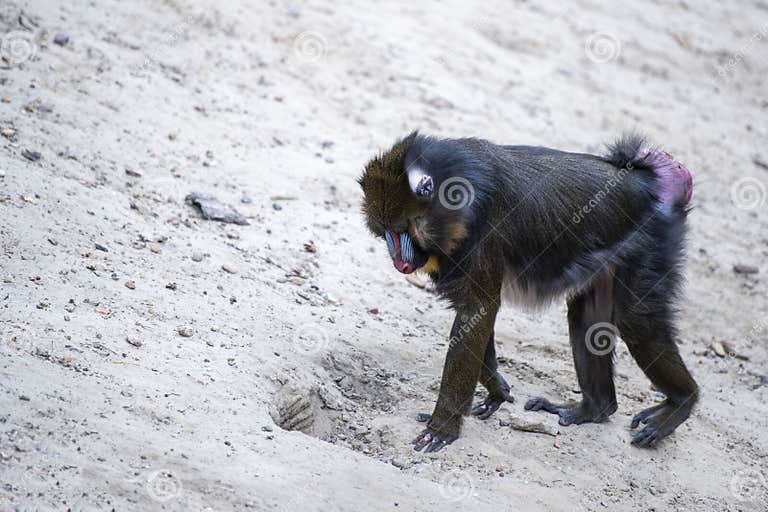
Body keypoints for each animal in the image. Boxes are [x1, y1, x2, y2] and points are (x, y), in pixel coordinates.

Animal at [358, 131, 698, 452]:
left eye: (401, 230)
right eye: (386, 233)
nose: (399, 260)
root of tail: (649, 180)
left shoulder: (483, 232)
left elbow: (479, 308)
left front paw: (442, 427)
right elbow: (474, 316)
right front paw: (497, 390)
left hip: (652, 244)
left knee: (636, 321)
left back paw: (682, 401)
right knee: (587, 320)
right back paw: (594, 408)